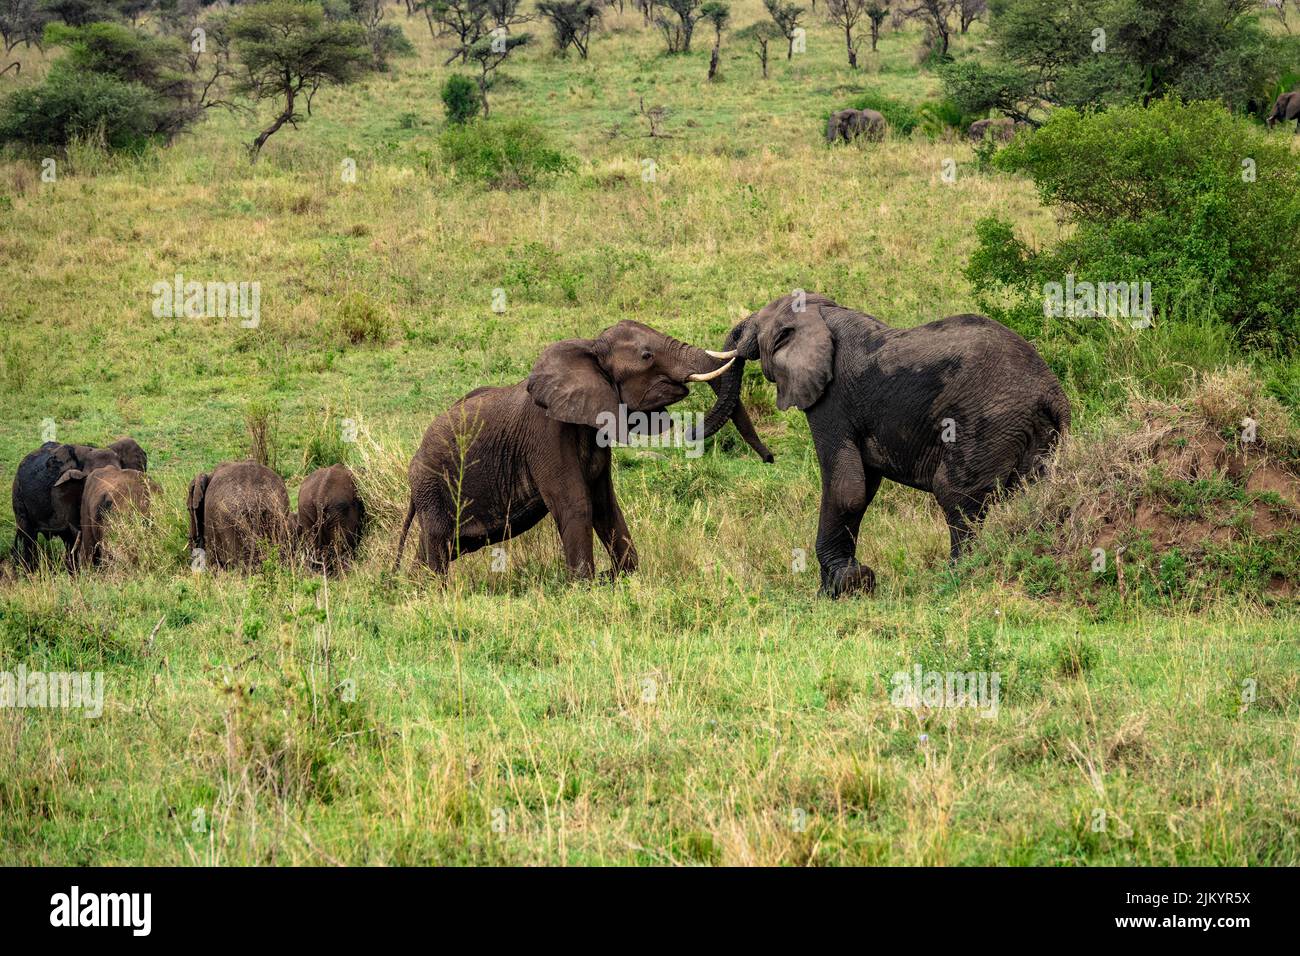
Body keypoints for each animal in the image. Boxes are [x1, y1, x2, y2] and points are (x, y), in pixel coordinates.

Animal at [395, 321, 772, 579]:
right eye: (647, 356)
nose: (769, 458)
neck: (589, 349)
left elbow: (605, 504)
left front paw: (619, 576)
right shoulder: (546, 436)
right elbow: (577, 503)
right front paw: (586, 585)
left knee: (435, 548)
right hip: (433, 484)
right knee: (438, 545)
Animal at [694, 293, 1070, 596]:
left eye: (756, 324)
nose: (769, 458)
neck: (822, 311)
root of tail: (1052, 392)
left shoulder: (832, 399)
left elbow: (846, 488)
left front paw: (844, 587)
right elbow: (864, 487)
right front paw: (842, 585)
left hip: (986, 424)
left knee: (956, 496)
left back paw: (955, 580)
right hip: (1036, 435)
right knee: (1029, 497)